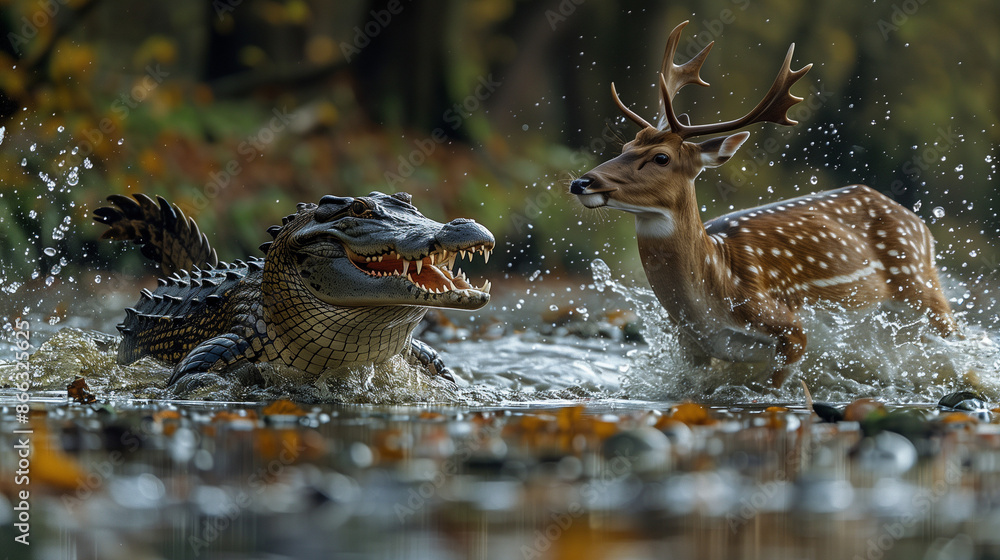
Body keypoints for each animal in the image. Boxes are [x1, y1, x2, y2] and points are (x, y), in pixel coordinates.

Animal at [570, 21, 959, 382]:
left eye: (661, 158)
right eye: (624, 146)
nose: (581, 182)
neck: (713, 297)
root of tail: (918, 223)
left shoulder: (787, 325)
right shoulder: (691, 344)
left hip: (922, 286)